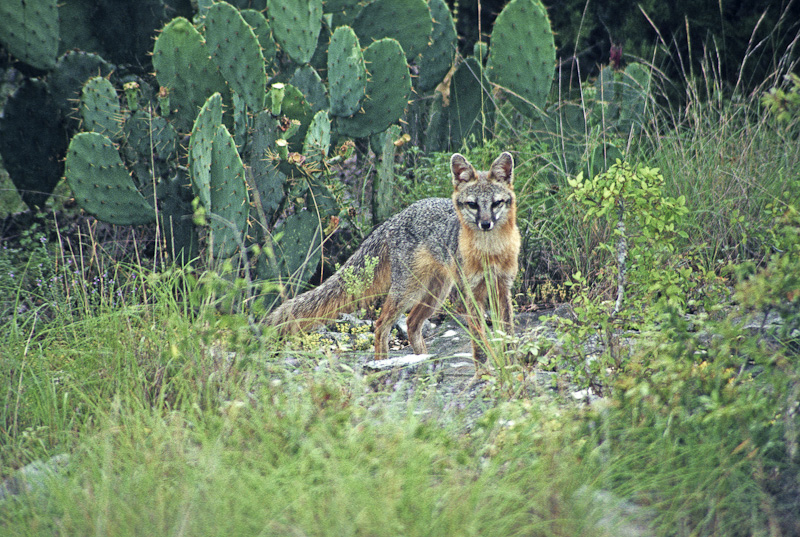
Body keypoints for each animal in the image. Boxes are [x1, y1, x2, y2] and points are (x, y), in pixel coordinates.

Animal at [268, 151, 521, 367]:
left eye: (496, 203)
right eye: (473, 205)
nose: (485, 224)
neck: (490, 252)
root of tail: (394, 218)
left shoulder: (503, 287)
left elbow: (508, 332)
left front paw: (511, 365)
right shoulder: (472, 292)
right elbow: (479, 339)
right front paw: (484, 371)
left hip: (435, 293)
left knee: (411, 323)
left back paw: (421, 359)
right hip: (408, 291)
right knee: (381, 325)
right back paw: (382, 364)